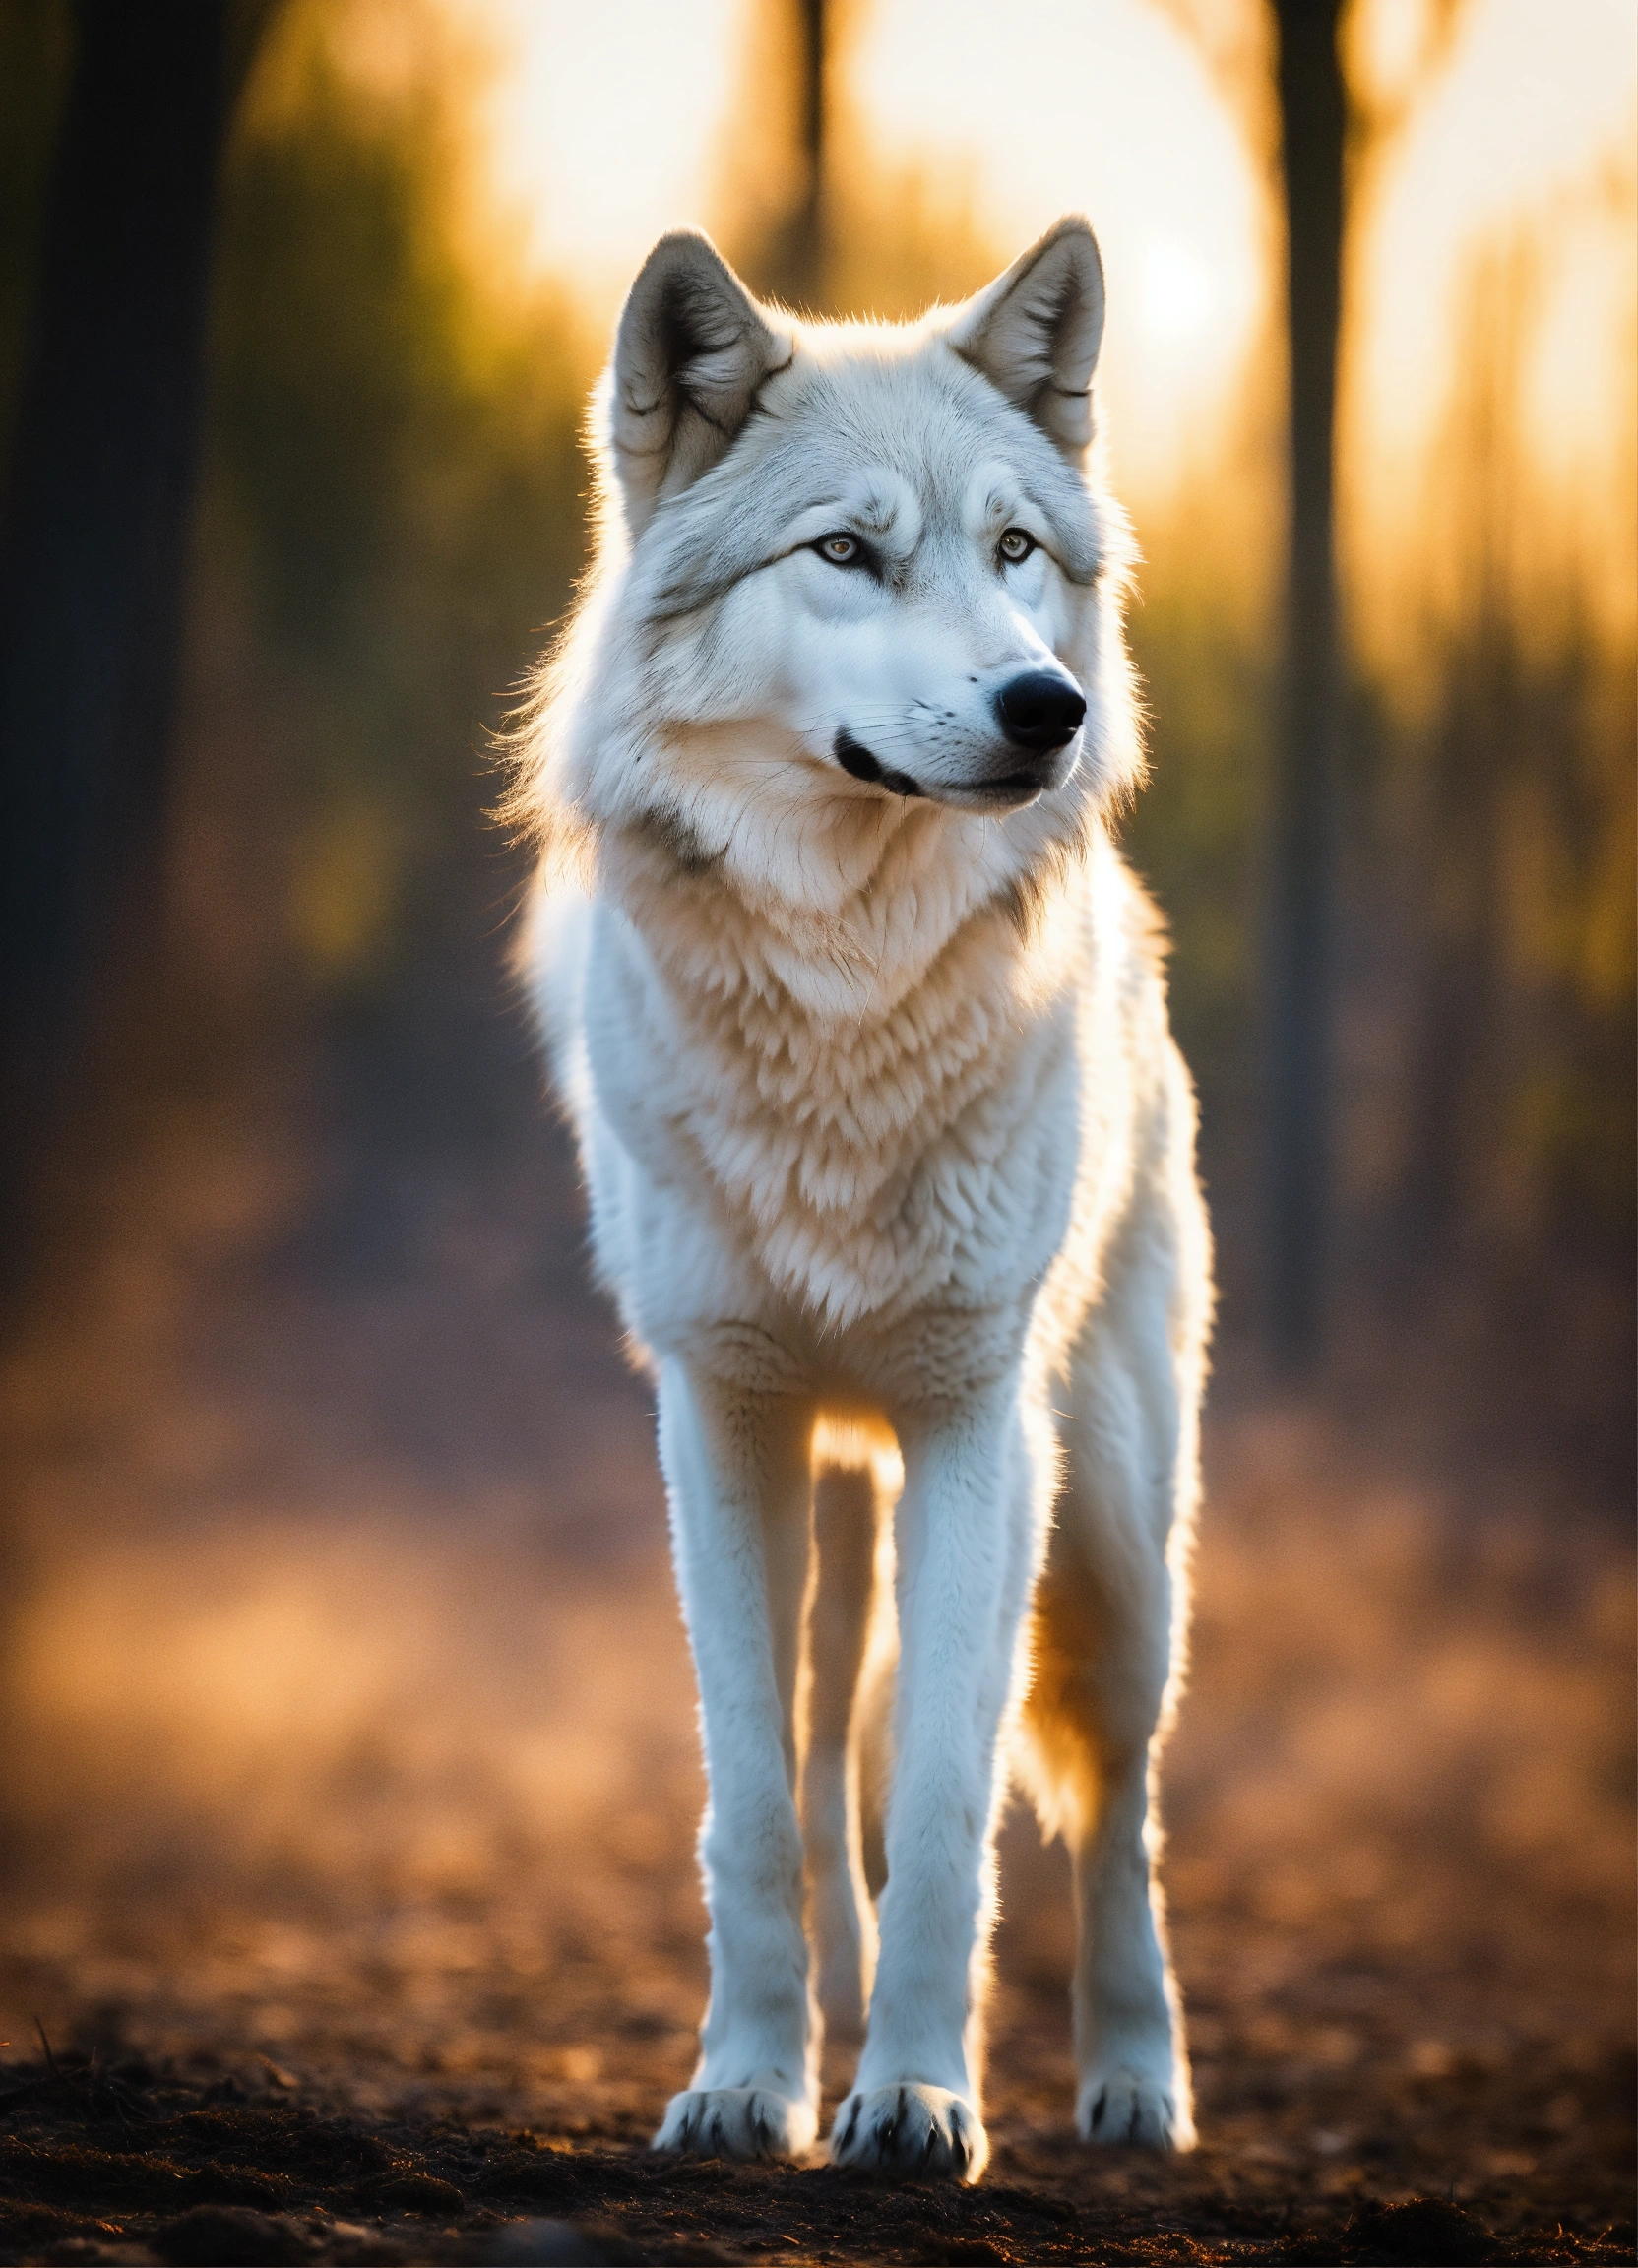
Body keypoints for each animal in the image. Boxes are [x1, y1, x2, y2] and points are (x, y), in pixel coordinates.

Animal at [512, 215, 1212, 2183]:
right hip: (840, 1487)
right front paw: (748, 2086)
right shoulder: (718, 1416)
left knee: (1117, 1803)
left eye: (1014, 551)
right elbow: (754, 1806)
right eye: (845, 551)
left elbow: (957, 1812)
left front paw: (912, 2097)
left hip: (1111, 1525)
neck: (842, 1004)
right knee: (829, 1770)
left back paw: (1135, 2084)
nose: (1045, 705)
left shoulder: (977, 1425)